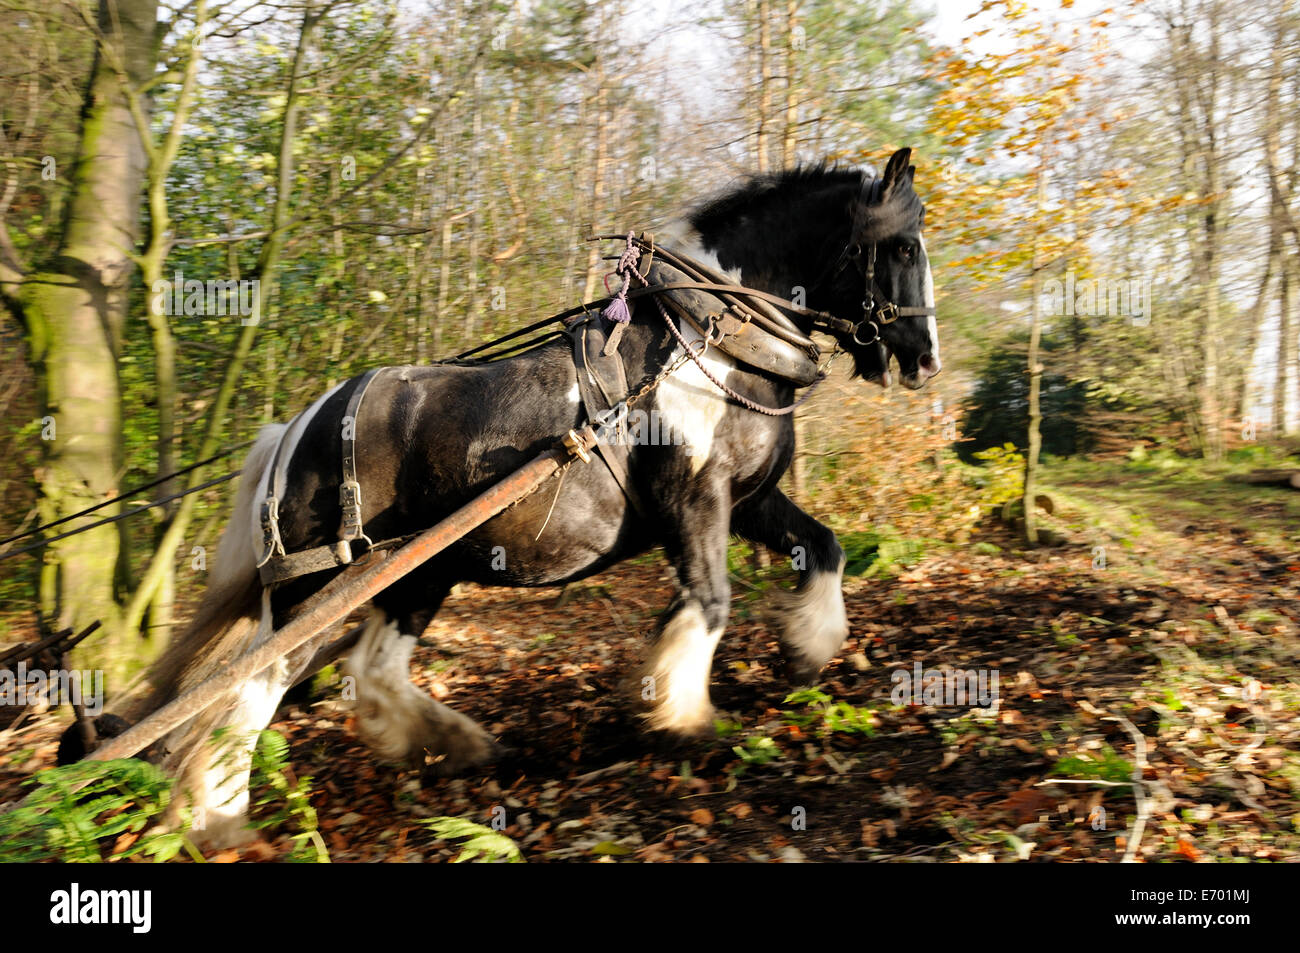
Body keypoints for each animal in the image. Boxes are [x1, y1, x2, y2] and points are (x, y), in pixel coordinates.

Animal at [131, 148, 940, 846]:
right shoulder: (695, 499)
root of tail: (296, 428)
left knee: (374, 669)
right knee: (250, 694)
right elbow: (709, 601)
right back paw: (220, 821)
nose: (926, 360)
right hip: (315, 589)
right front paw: (679, 716)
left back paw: (460, 745)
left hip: (417, 569)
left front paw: (808, 649)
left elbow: (825, 547)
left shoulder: (749, 501)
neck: (709, 347)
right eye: (902, 249)